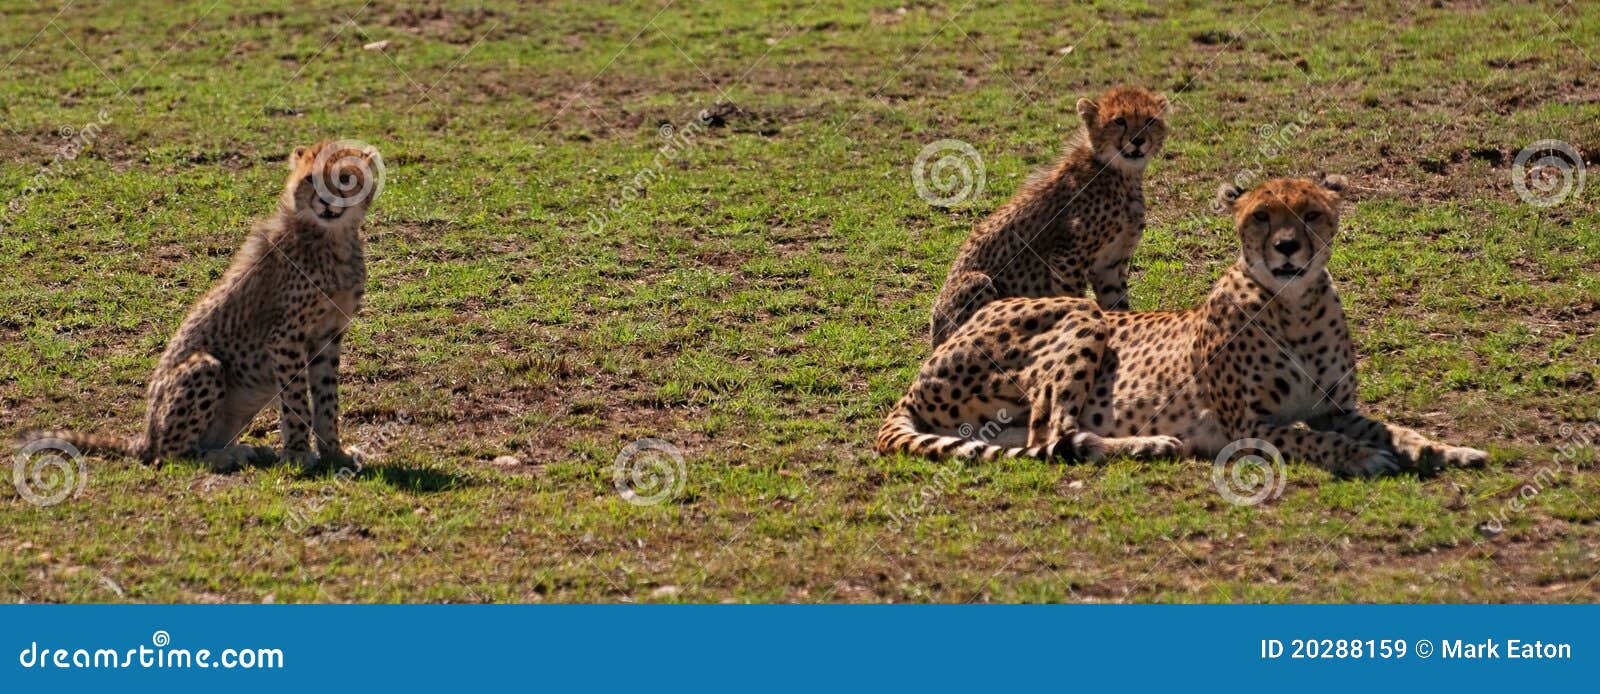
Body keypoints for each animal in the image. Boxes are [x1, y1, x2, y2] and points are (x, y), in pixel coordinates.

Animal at [20, 140, 382, 471]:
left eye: (344, 178)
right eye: (310, 179)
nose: (325, 202)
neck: (332, 237)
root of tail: (146, 436)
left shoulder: (328, 334)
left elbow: (326, 398)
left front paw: (334, 451)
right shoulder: (286, 336)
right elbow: (295, 400)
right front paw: (297, 453)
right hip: (205, 367)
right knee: (170, 456)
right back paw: (229, 456)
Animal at [879, 174, 1489, 477]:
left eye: (1311, 214)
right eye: (1261, 216)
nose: (1287, 248)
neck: (1294, 304)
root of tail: (923, 366)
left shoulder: (1336, 408)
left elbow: (1392, 428)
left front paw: (1445, 450)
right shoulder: (1249, 425)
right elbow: (1313, 438)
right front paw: (1362, 459)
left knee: (1043, 437)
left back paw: (1148, 448)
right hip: (1081, 313)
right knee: (1048, 436)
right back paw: (1145, 445)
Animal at [929, 85, 1170, 347]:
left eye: (1150, 121)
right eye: (1119, 121)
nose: (1138, 141)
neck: (1121, 174)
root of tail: (934, 337)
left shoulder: (1111, 263)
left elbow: (1117, 305)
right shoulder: (1067, 258)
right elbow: (1077, 303)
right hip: (978, 281)